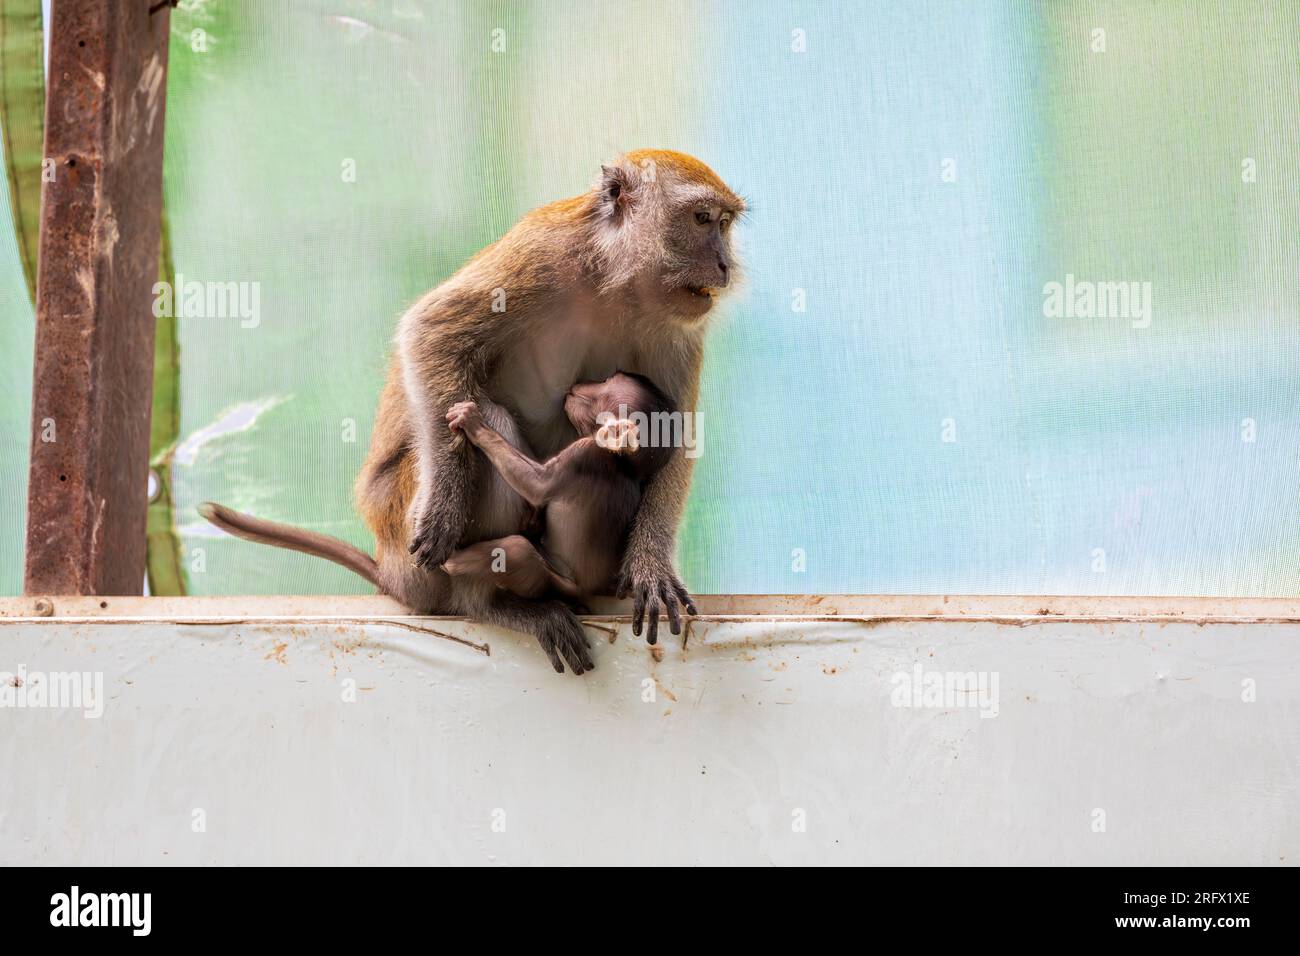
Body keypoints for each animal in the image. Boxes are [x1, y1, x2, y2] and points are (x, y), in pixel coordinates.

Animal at [440, 371, 677, 612]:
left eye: (605, 384)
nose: (584, 383)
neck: (623, 465)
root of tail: (588, 593)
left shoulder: (583, 454)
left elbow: (538, 484)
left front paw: (474, 424)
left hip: (560, 585)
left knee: (519, 551)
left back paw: (452, 562)